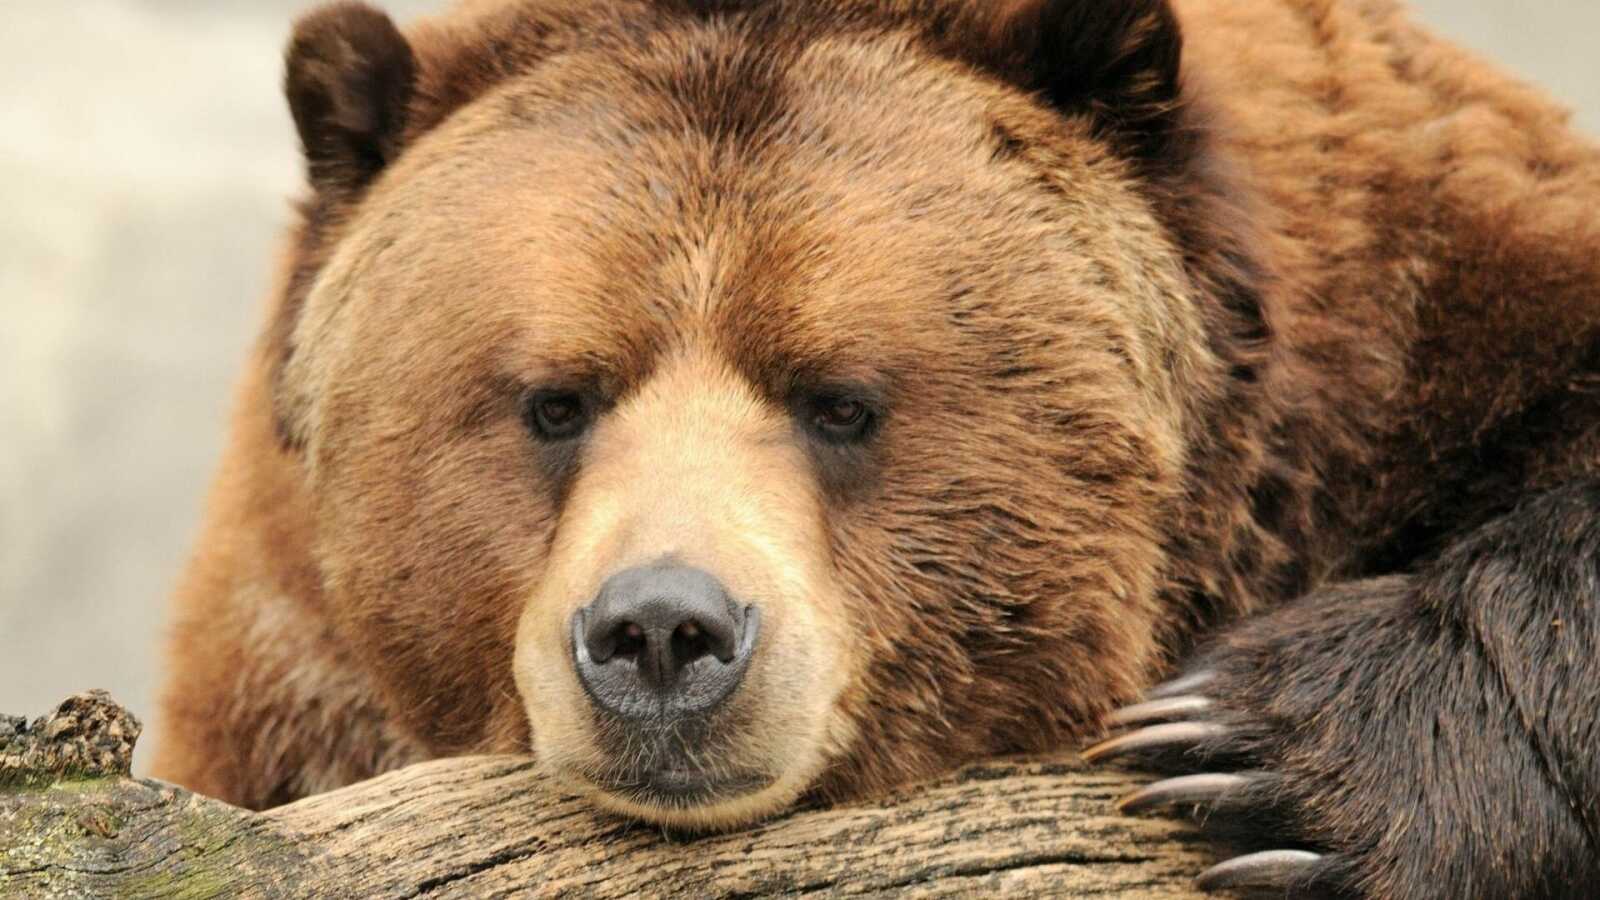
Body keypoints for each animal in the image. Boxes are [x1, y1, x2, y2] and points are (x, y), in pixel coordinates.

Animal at [153, 0, 1600, 896]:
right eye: (556, 400)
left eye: (839, 399)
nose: (661, 633)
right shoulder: (277, 681)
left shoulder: (1419, 304)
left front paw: (1257, 762)